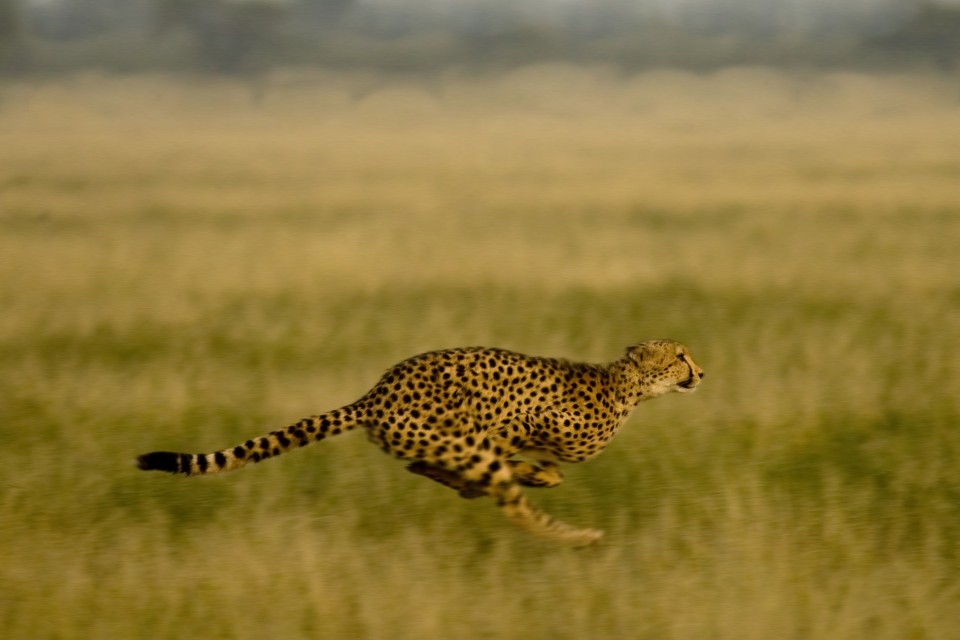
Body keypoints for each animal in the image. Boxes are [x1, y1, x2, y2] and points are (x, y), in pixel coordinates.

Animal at [138, 339, 704, 546]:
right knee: (510, 503)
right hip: (443, 436)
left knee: (422, 468)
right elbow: (522, 456)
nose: (701, 373)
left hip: (419, 441)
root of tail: (375, 392)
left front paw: (537, 473)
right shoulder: (509, 425)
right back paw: (576, 537)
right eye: (679, 356)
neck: (626, 387)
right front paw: (535, 474)